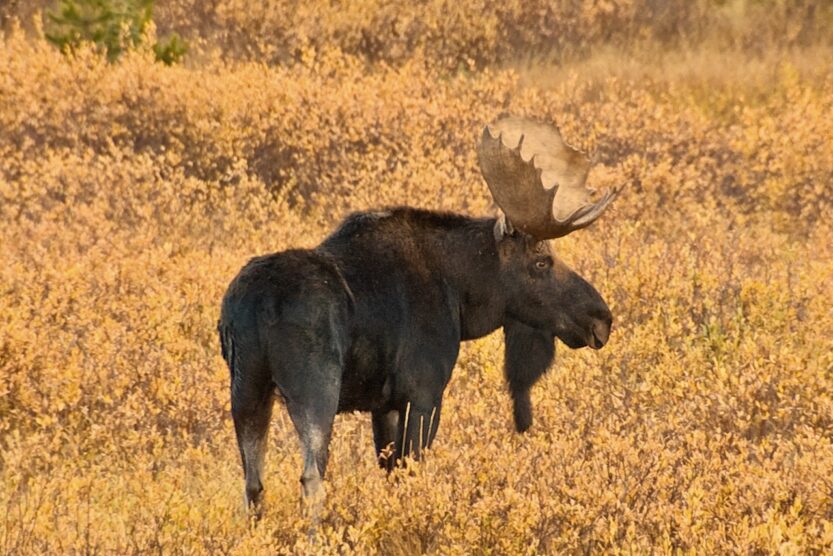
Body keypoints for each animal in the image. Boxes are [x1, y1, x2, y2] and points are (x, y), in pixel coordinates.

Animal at [218, 115, 622, 517]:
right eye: (541, 261)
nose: (601, 318)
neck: (461, 296)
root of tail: (255, 307)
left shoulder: (384, 404)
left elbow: (390, 472)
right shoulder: (424, 392)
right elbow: (410, 471)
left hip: (246, 389)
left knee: (253, 484)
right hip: (314, 388)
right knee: (311, 478)